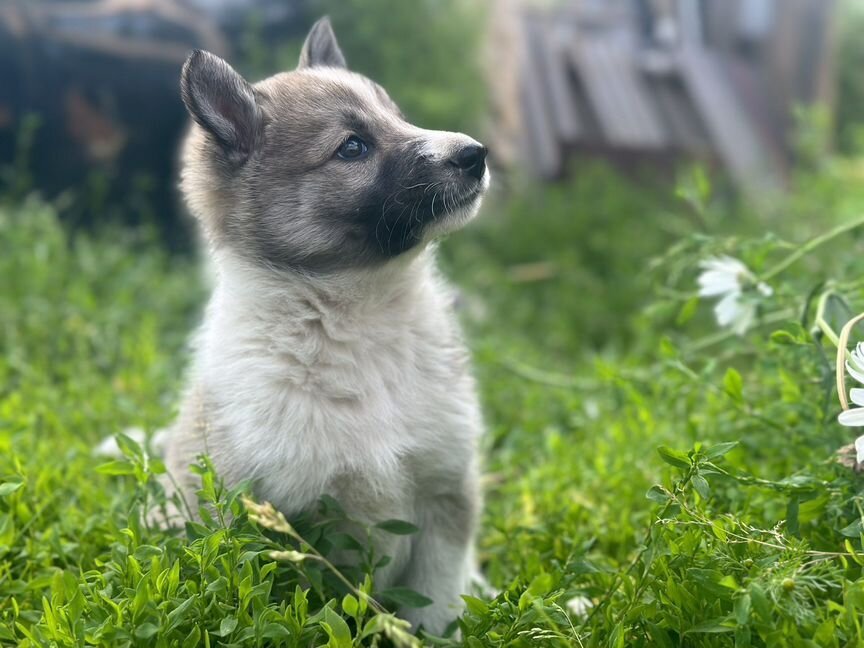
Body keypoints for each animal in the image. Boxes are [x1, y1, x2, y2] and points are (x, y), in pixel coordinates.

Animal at [165, 16, 490, 636]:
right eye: (353, 147)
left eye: (397, 115)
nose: (476, 153)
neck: (355, 312)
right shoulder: (267, 516)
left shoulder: (445, 497)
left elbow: (436, 608)